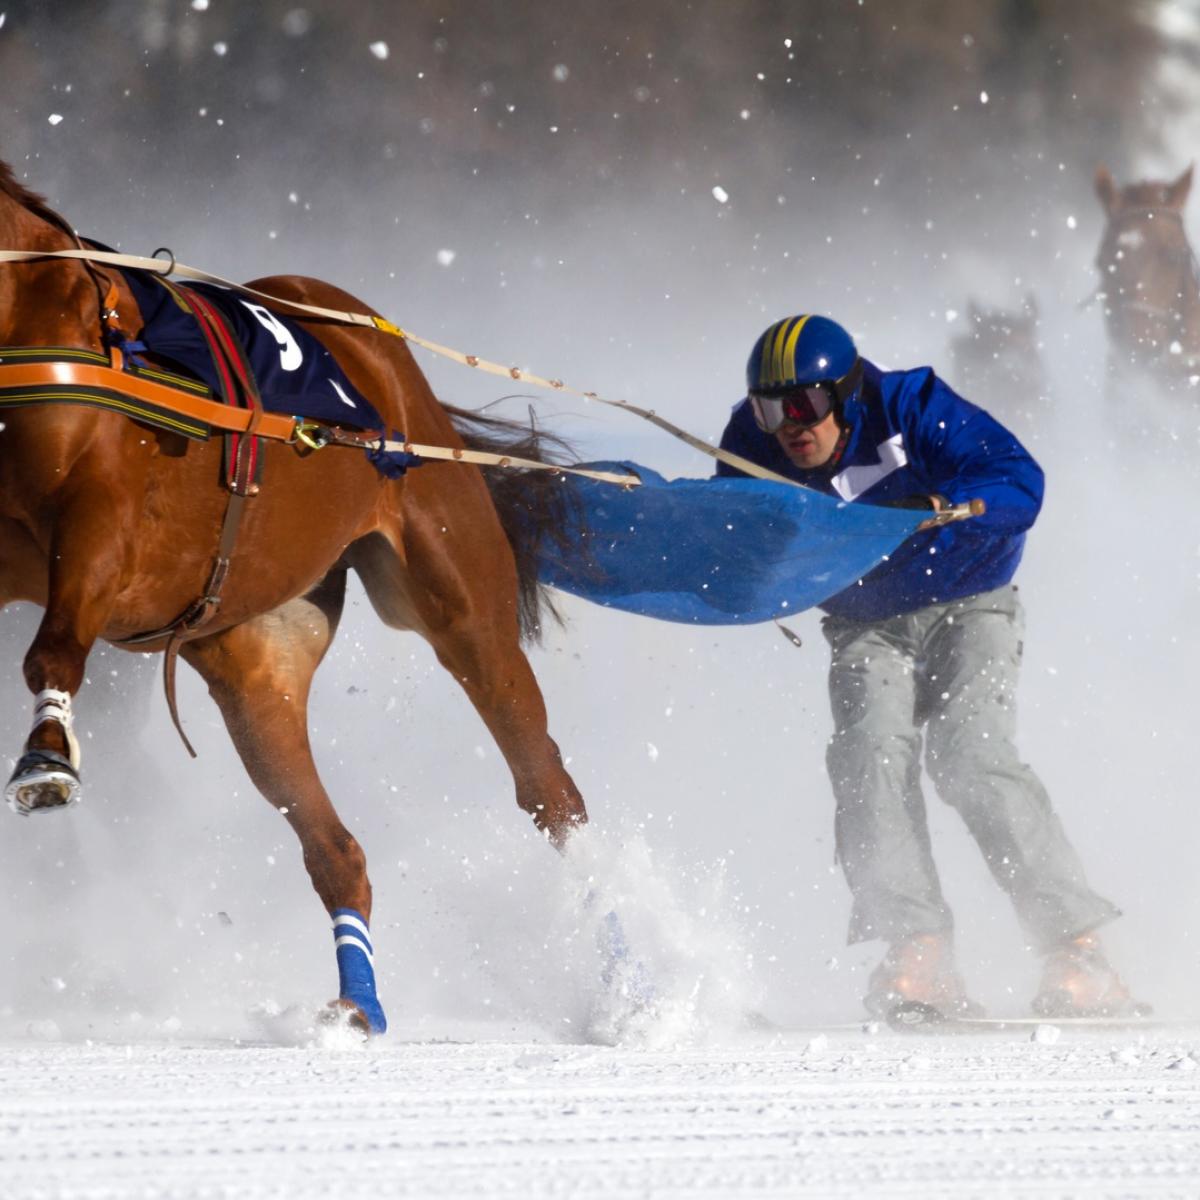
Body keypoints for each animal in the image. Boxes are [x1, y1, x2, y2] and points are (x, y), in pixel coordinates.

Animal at [0, 159, 590, 1034]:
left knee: (546, 786)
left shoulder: (99, 525)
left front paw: (45, 758)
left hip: (458, 600)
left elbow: (56, 646)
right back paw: (359, 1003)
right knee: (335, 848)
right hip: (256, 661)